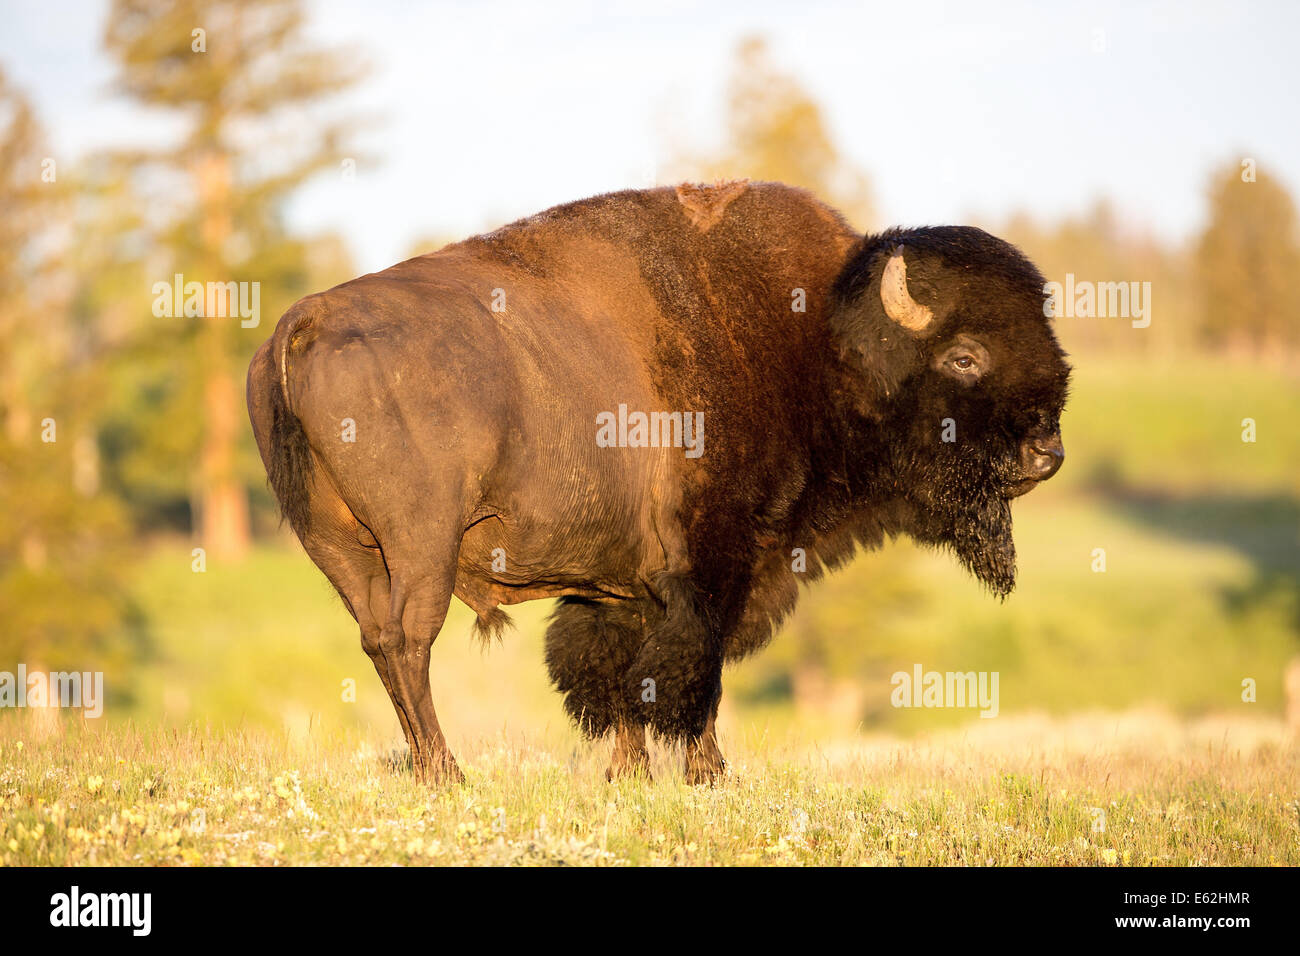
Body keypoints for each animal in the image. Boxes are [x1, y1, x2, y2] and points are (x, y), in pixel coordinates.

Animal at [246, 181, 1069, 784]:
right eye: (964, 355)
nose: (1046, 455)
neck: (818, 339)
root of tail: (303, 326)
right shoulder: (718, 562)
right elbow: (695, 669)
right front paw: (709, 774)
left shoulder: (617, 586)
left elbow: (615, 672)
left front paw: (631, 774)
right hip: (422, 546)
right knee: (409, 640)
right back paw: (448, 774)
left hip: (338, 549)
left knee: (378, 641)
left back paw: (431, 768)